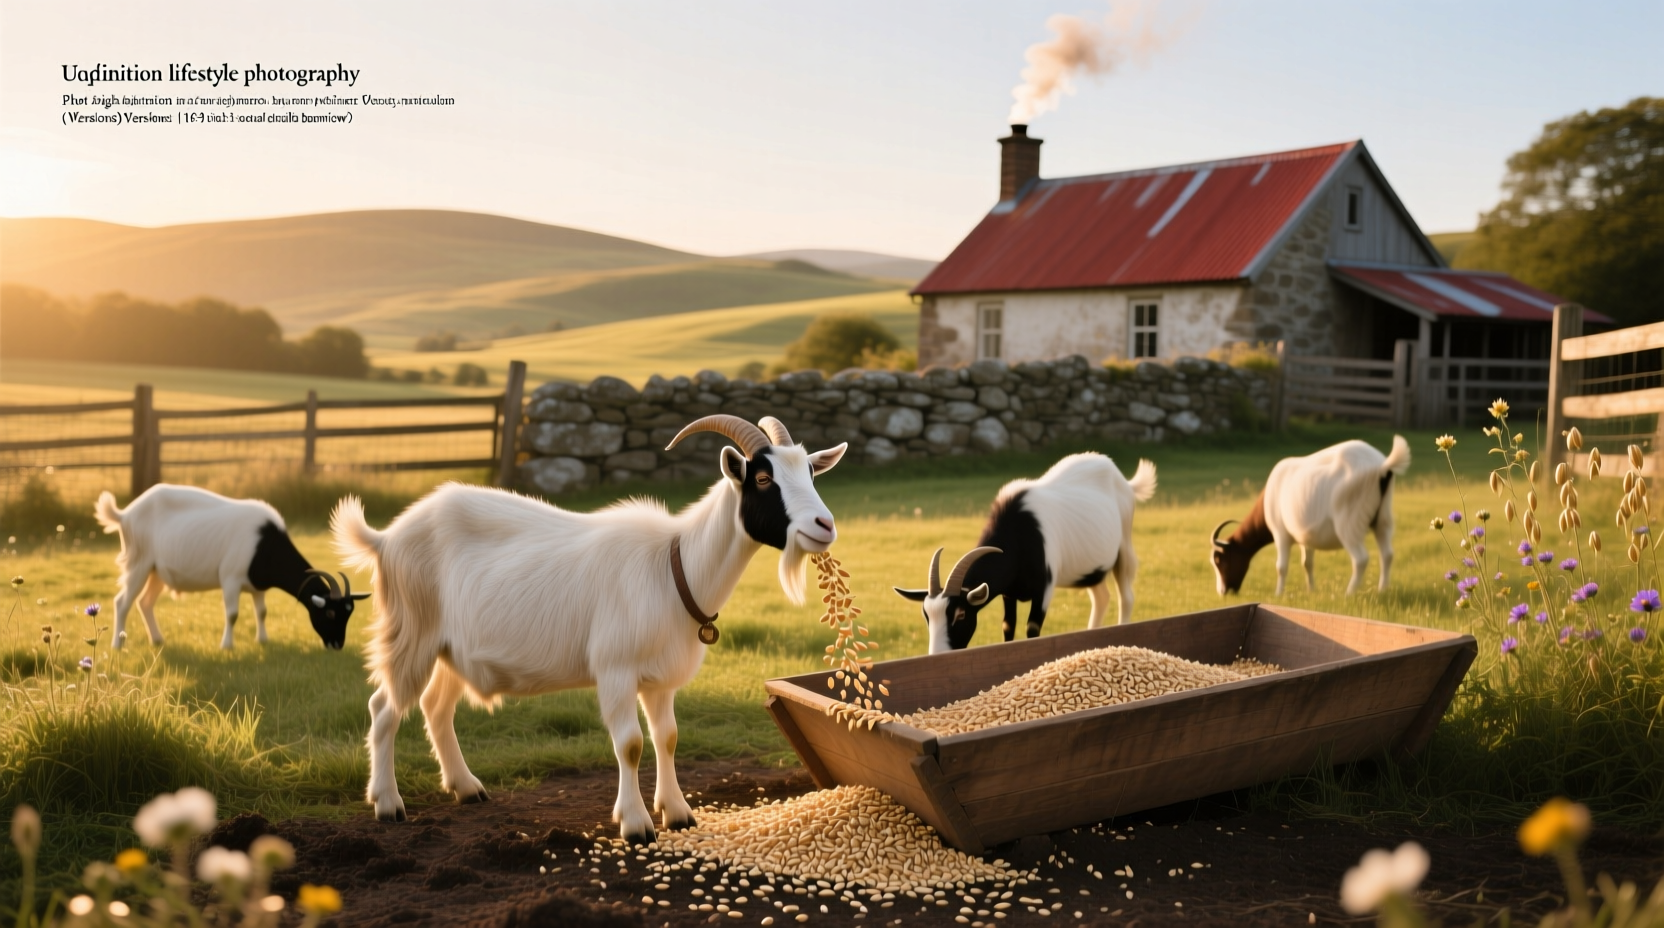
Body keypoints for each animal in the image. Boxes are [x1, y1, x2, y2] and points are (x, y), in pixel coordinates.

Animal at [94, 485, 366, 651]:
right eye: (329, 613)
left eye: (349, 613)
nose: (337, 645)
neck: (265, 544)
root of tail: (125, 514)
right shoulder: (231, 578)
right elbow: (233, 614)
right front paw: (227, 646)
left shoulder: (258, 586)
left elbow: (262, 612)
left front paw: (263, 641)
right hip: (138, 561)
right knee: (123, 602)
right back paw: (117, 645)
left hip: (157, 571)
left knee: (145, 602)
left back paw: (158, 640)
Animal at [329, 415, 845, 842]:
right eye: (763, 478)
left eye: (811, 473)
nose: (825, 525)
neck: (673, 566)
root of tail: (386, 539)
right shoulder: (616, 669)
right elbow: (631, 744)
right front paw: (635, 824)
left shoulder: (661, 678)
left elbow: (668, 737)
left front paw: (678, 813)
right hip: (411, 631)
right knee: (384, 708)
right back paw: (388, 804)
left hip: (451, 649)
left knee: (436, 708)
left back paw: (466, 787)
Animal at [895, 453, 1156, 652]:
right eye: (927, 616)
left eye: (960, 614)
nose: (938, 654)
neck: (1018, 533)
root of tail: (1123, 479)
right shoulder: (1008, 593)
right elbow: (1008, 626)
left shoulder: (1044, 588)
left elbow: (1032, 628)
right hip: (1091, 568)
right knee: (1101, 597)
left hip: (1123, 546)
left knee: (1126, 596)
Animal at [1210, 435, 1411, 596]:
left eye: (1219, 560)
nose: (1223, 592)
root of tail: (1382, 466)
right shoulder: (1306, 537)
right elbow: (1307, 563)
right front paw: (1311, 590)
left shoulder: (1280, 534)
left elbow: (1281, 567)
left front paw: (1278, 594)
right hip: (1383, 519)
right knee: (1387, 554)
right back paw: (1382, 590)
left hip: (1349, 523)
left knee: (1360, 559)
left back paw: (1348, 594)